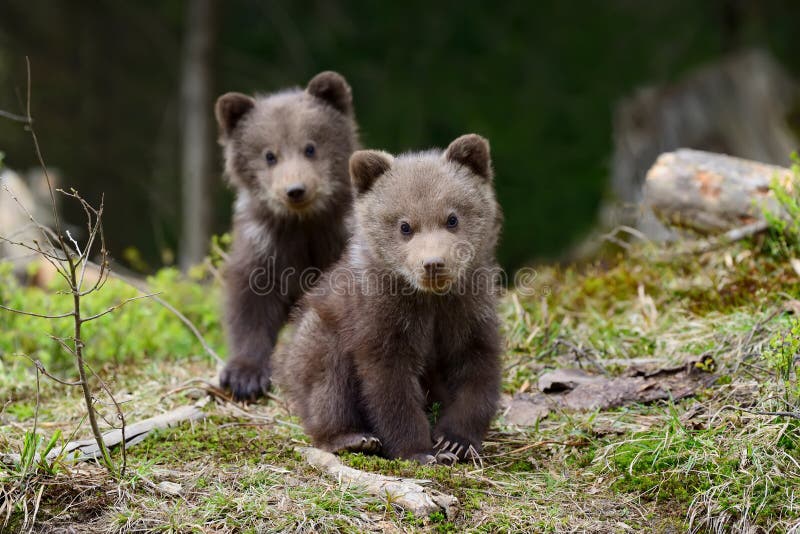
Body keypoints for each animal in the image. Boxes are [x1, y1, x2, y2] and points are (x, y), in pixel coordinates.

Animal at [215, 71, 359, 401]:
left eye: (310, 147)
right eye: (270, 155)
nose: (295, 190)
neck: (303, 224)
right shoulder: (265, 244)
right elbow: (250, 303)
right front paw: (244, 375)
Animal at [274, 134, 503, 464]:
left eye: (452, 218)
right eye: (404, 226)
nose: (433, 264)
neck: (429, 300)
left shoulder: (468, 310)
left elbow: (476, 368)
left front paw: (455, 440)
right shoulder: (381, 316)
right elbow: (390, 384)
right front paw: (419, 450)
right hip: (318, 334)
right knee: (327, 381)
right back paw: (351, 437)